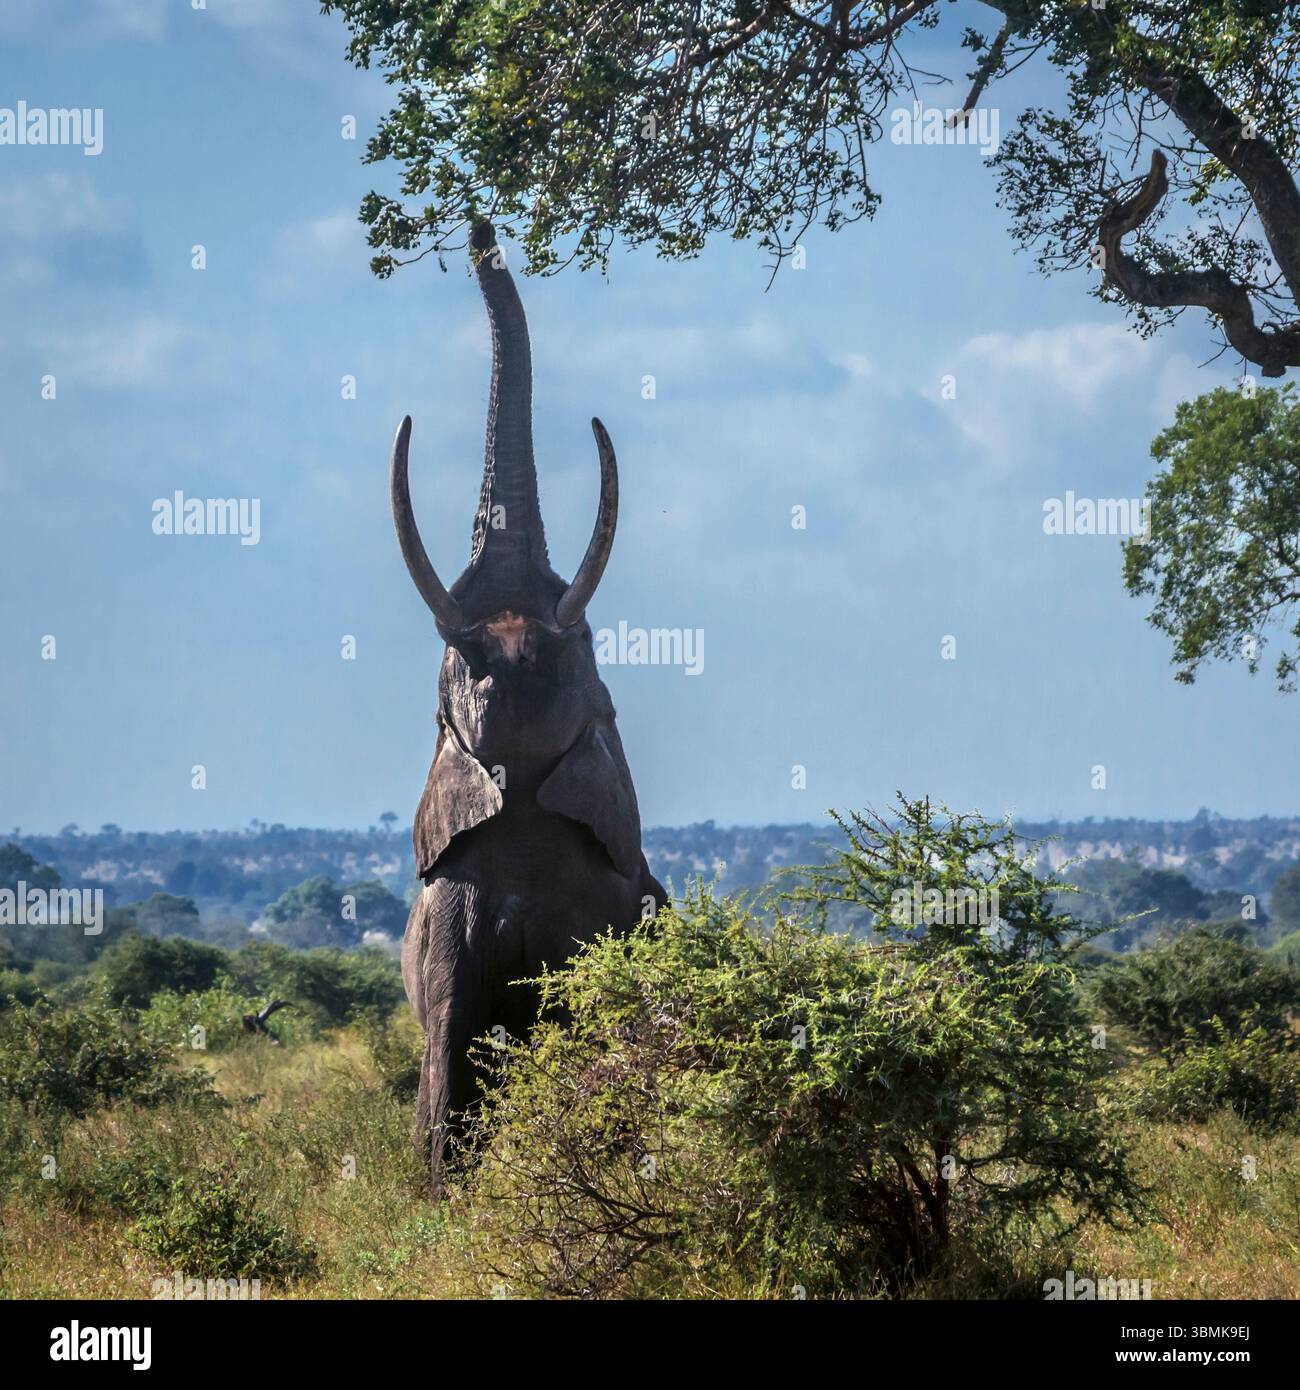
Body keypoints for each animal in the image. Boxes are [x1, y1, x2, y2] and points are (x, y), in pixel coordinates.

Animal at [390, 222, 666, 1198]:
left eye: (579, 654)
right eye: (458, 667)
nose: (480, 228)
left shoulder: (604, 908)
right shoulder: (444, 911)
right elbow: (446, 1053)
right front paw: (437, 1202)